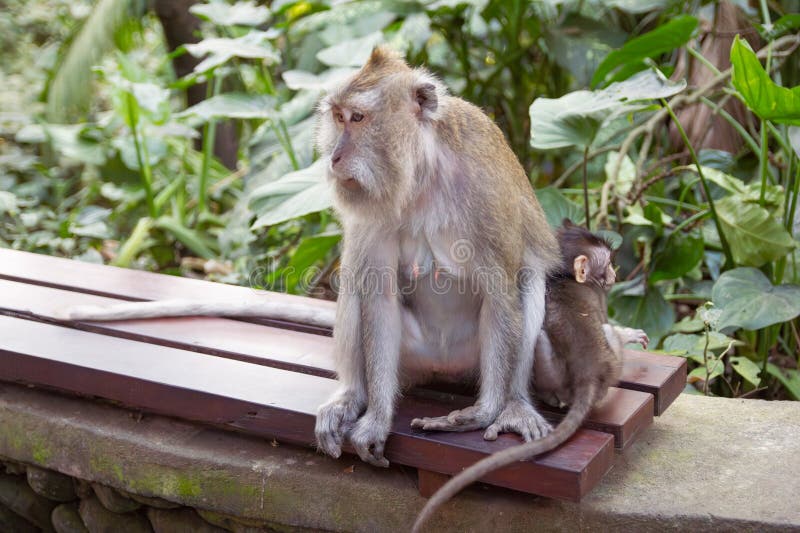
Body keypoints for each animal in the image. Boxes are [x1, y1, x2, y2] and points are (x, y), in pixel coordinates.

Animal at [58, 46, 563, 468]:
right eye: (337, 118)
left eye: (357, 118)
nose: (334, 157)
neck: (419, 177)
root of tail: (444, 366)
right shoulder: (372, 214)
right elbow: (378, 298)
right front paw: (376, 418)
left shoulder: (485, 193)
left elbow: (502, 290)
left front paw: (484, 412)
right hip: (413, 355)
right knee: (358, 284)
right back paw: (352, 396)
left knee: (529, 283)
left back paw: (515, 405)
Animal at [411, 221, 648, 533]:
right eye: (607, 264)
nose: (614, 274)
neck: (565, 277)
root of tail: (589, 373)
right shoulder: (599, 298)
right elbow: (609, 324)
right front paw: (629, 333)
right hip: (607, 366)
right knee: (605, 335)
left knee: (539, 338)